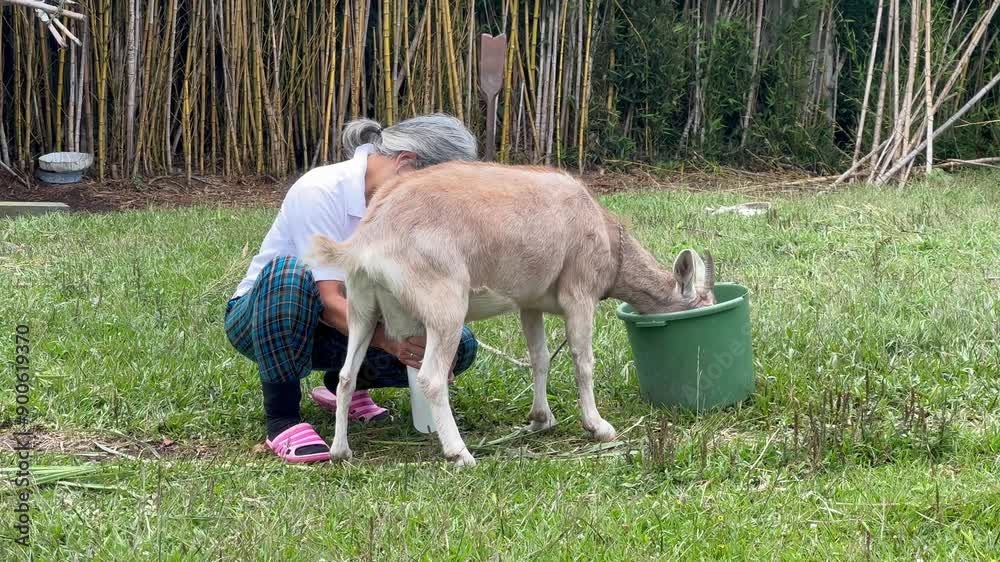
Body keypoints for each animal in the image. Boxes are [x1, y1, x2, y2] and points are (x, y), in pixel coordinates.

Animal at [311, 162, 716, 466]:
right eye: (703, 303)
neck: (607, 237)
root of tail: (366, 240)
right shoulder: (579, 293)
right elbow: (582, 360)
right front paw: (598, 426)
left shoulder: (530, 303)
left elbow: (539, 357)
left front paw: (541, 419)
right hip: (445, 305)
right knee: (431, 378)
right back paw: (460, 453)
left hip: (361, 308)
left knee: (346, 375)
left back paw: (340, 451)